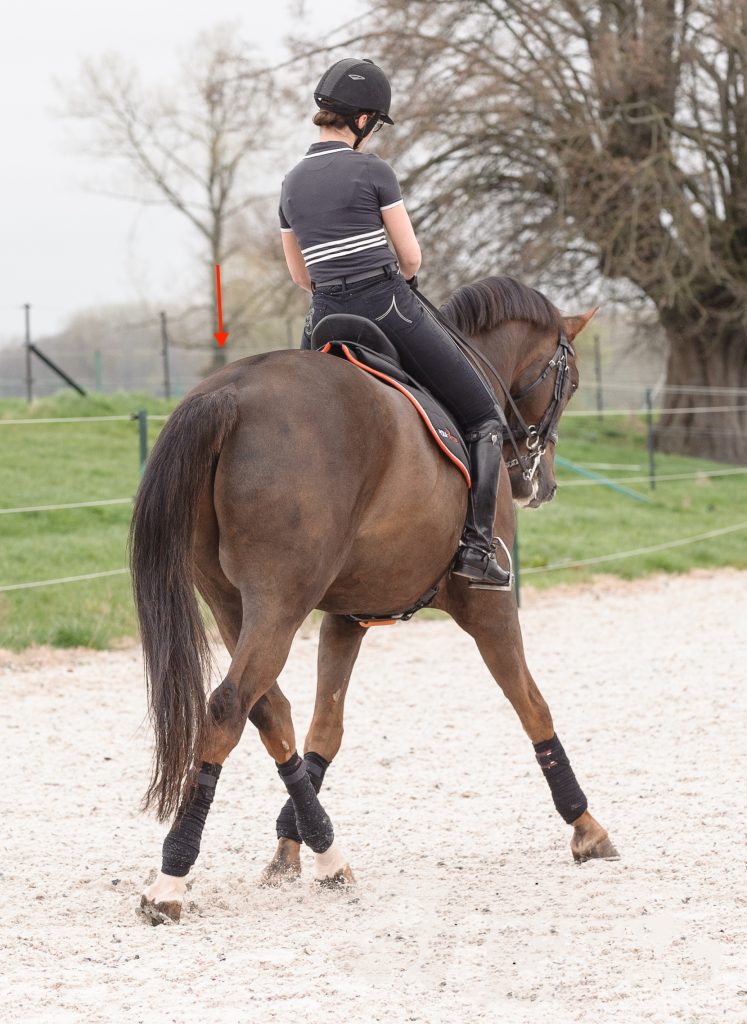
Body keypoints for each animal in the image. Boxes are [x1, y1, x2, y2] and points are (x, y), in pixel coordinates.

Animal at [131, 275, 617, 925]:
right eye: (574, 382)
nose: (542, 484)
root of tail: (230, 394)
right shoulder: (488, 607)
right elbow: (532, 705)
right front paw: (586, 826)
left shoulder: (346, 616)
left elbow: (325, 731)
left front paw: (291, 850)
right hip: (279, 603)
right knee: (230, 707)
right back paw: (171, 879)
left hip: (231, 603)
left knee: (270, 710)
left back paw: (329, 855)